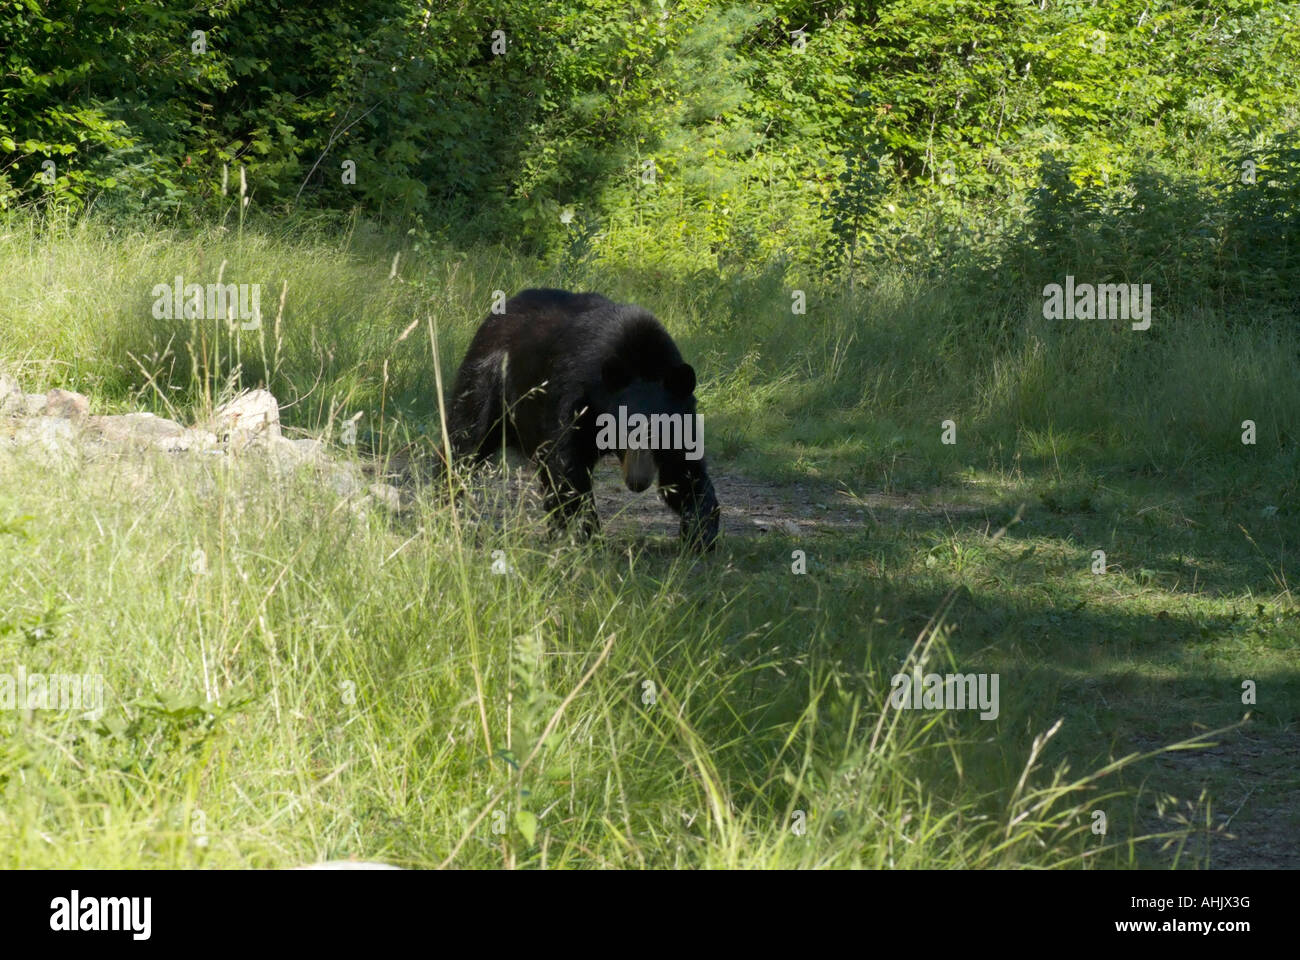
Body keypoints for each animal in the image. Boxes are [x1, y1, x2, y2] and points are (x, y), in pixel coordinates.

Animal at [446, 288, 721, 550]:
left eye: (659, 436)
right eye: (623, 431)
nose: (637, 481)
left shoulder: (683, 422)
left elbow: (682, 472)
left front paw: (700, 532)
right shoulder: (575, 395)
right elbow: (568, 465)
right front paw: (586, 534)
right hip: (490, 381)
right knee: (467, 440)